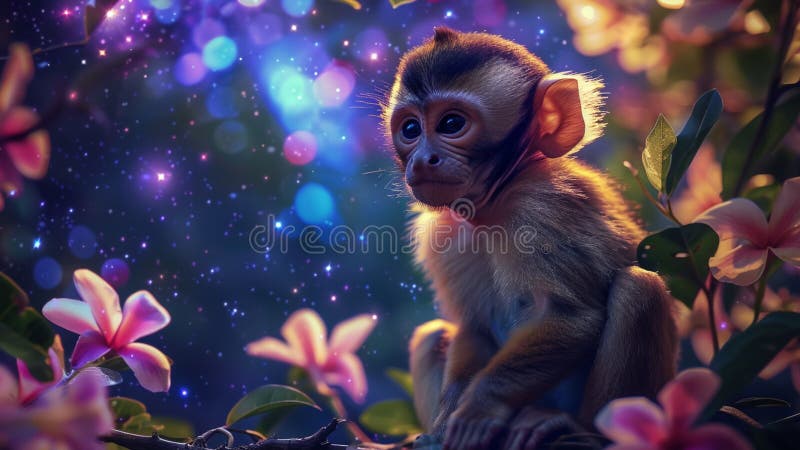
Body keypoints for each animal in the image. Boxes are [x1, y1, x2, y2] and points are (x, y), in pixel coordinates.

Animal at [383, 27, 678, 450]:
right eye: (410, 130)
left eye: (451, 123)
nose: (423, 159)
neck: (495, 203)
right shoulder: (443, 234)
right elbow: (473, 327)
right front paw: (444, 423)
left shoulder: (541, 208)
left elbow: (571, 318)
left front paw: (478, 409)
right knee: (432, 334)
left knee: (638, 288)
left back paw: (575, 427)